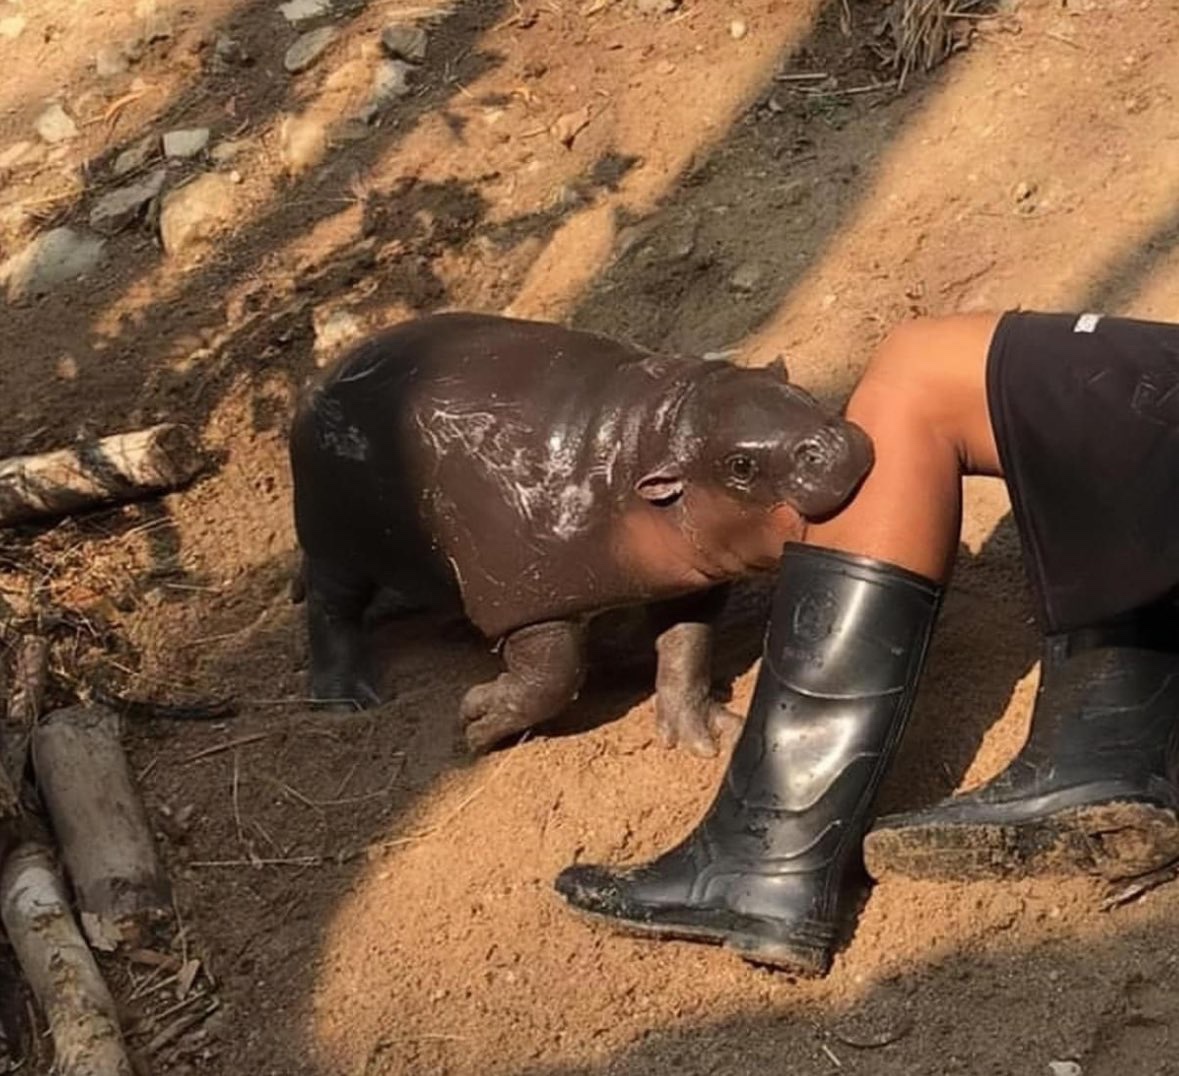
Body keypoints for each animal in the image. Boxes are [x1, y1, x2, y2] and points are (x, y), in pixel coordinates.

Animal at [289, 312, 872, 755]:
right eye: (741, 466)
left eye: (798, 391)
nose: (834, 445)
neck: (648, 440)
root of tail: (317, 380)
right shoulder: (527, 598)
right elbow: (554, 678)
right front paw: (475, 722)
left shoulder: (687, 578)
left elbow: (686, 645)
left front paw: (706, 733)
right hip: (336, 540)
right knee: (330, 606)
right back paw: (348, 699)